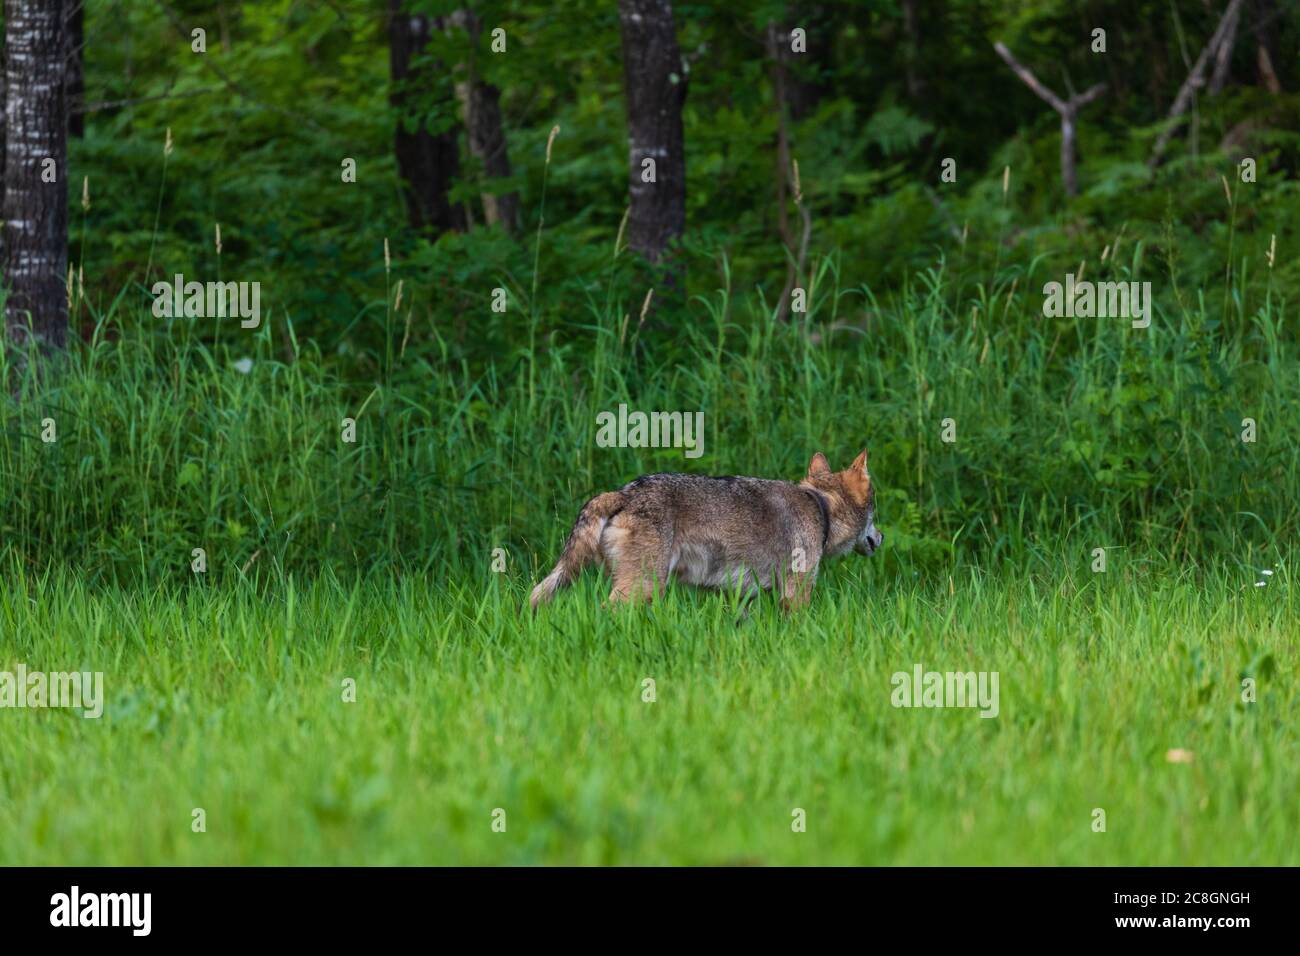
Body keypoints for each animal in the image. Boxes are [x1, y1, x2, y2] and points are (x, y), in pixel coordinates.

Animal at [529, 449, 882, 611]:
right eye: (875, 513)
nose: (881, 537)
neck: (820, 506)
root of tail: (624, 492)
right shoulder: (796, 593)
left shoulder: (739, 595)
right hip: (643, 588)